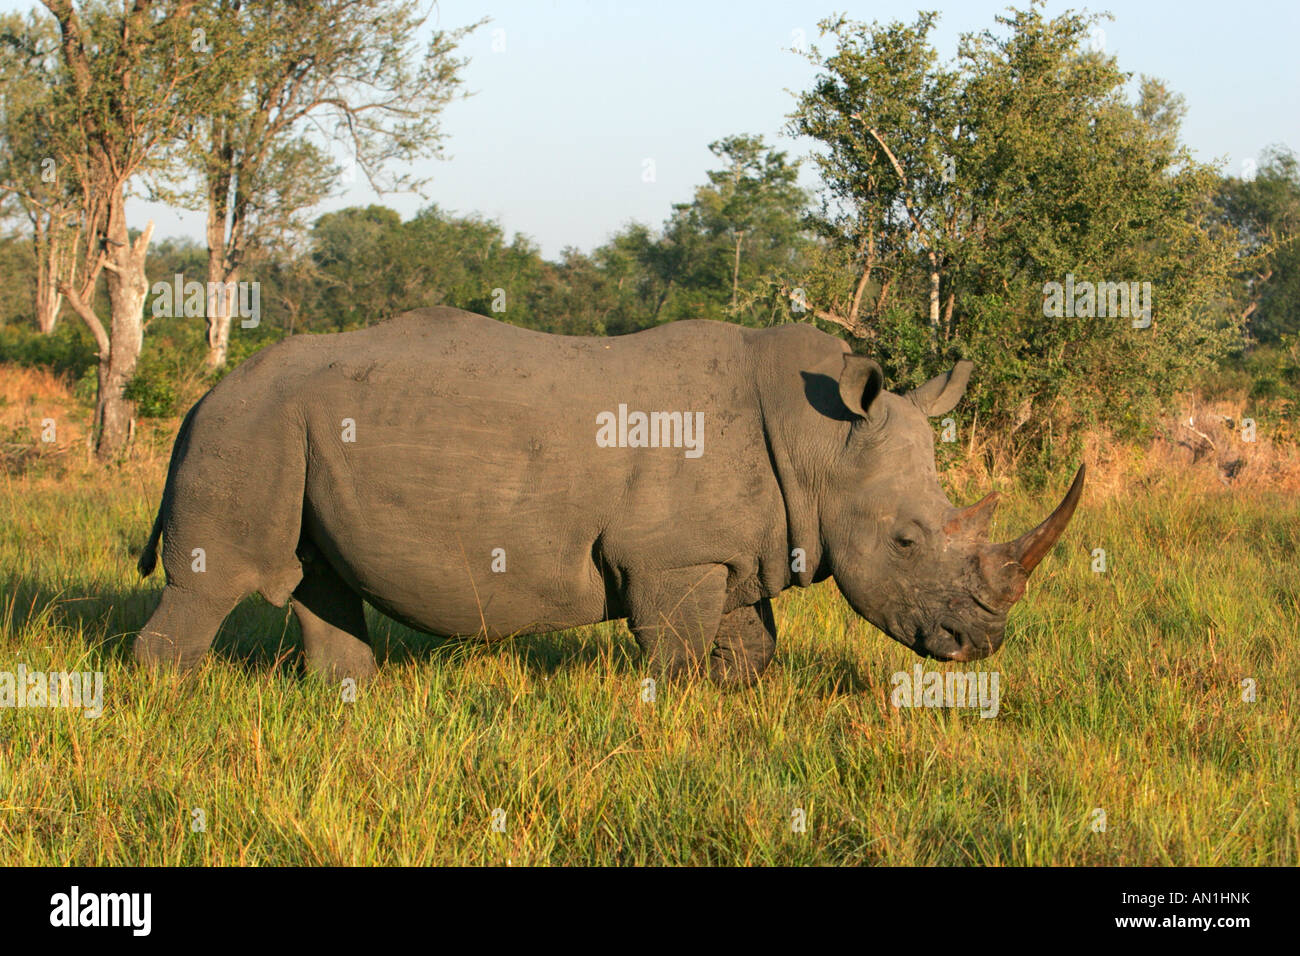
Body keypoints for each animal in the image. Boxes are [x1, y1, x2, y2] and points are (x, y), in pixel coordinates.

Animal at [135, 307, 1083, 687]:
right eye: (906, 542)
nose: (982, 643)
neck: (820, 444)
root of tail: (205, 394)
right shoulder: (670, 559)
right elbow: (677, 657)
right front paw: (677, 724)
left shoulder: (730, 551)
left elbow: (750, 651)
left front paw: (733, 711)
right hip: (246, 430)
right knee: (216, 581)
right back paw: (163, 707)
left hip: (292, 429)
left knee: (318, 579)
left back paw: (349, 704)